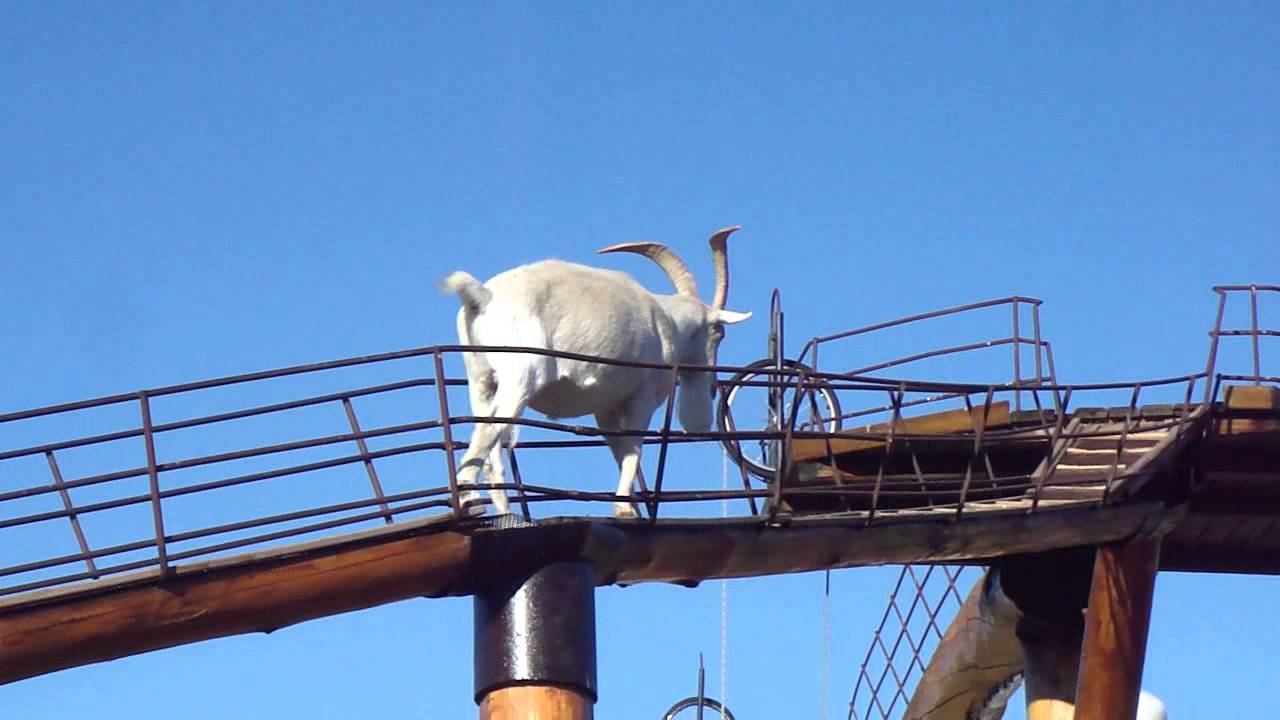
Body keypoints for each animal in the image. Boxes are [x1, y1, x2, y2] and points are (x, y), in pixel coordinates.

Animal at [441, 226, 750, 517]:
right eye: (719, 333)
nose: (711, 388)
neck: (666, 321)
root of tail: (484, 297)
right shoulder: (643, 398)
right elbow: (633, 447)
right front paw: (624, 508)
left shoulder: (606, 409)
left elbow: (618, 448)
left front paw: (631, 507)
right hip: (520, 377)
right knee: (489, 427)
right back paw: (468, 497)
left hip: (481, 381)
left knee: (487, 435)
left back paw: (504, 511)